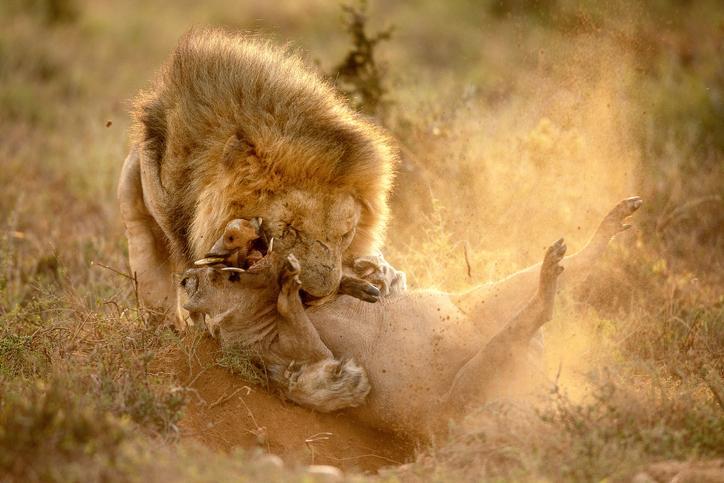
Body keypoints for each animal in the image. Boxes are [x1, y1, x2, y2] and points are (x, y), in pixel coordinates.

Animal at [180, 197, 642, 436]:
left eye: (227, 260)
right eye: (225, 274)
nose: (237, 227)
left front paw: (350, 282)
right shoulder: (293, 358)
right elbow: (310, 358)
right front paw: (290, 286)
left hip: (482, 301)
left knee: (570, 269)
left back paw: (607, 226)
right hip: (471, 384)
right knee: (536, 313)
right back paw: (550, 278)